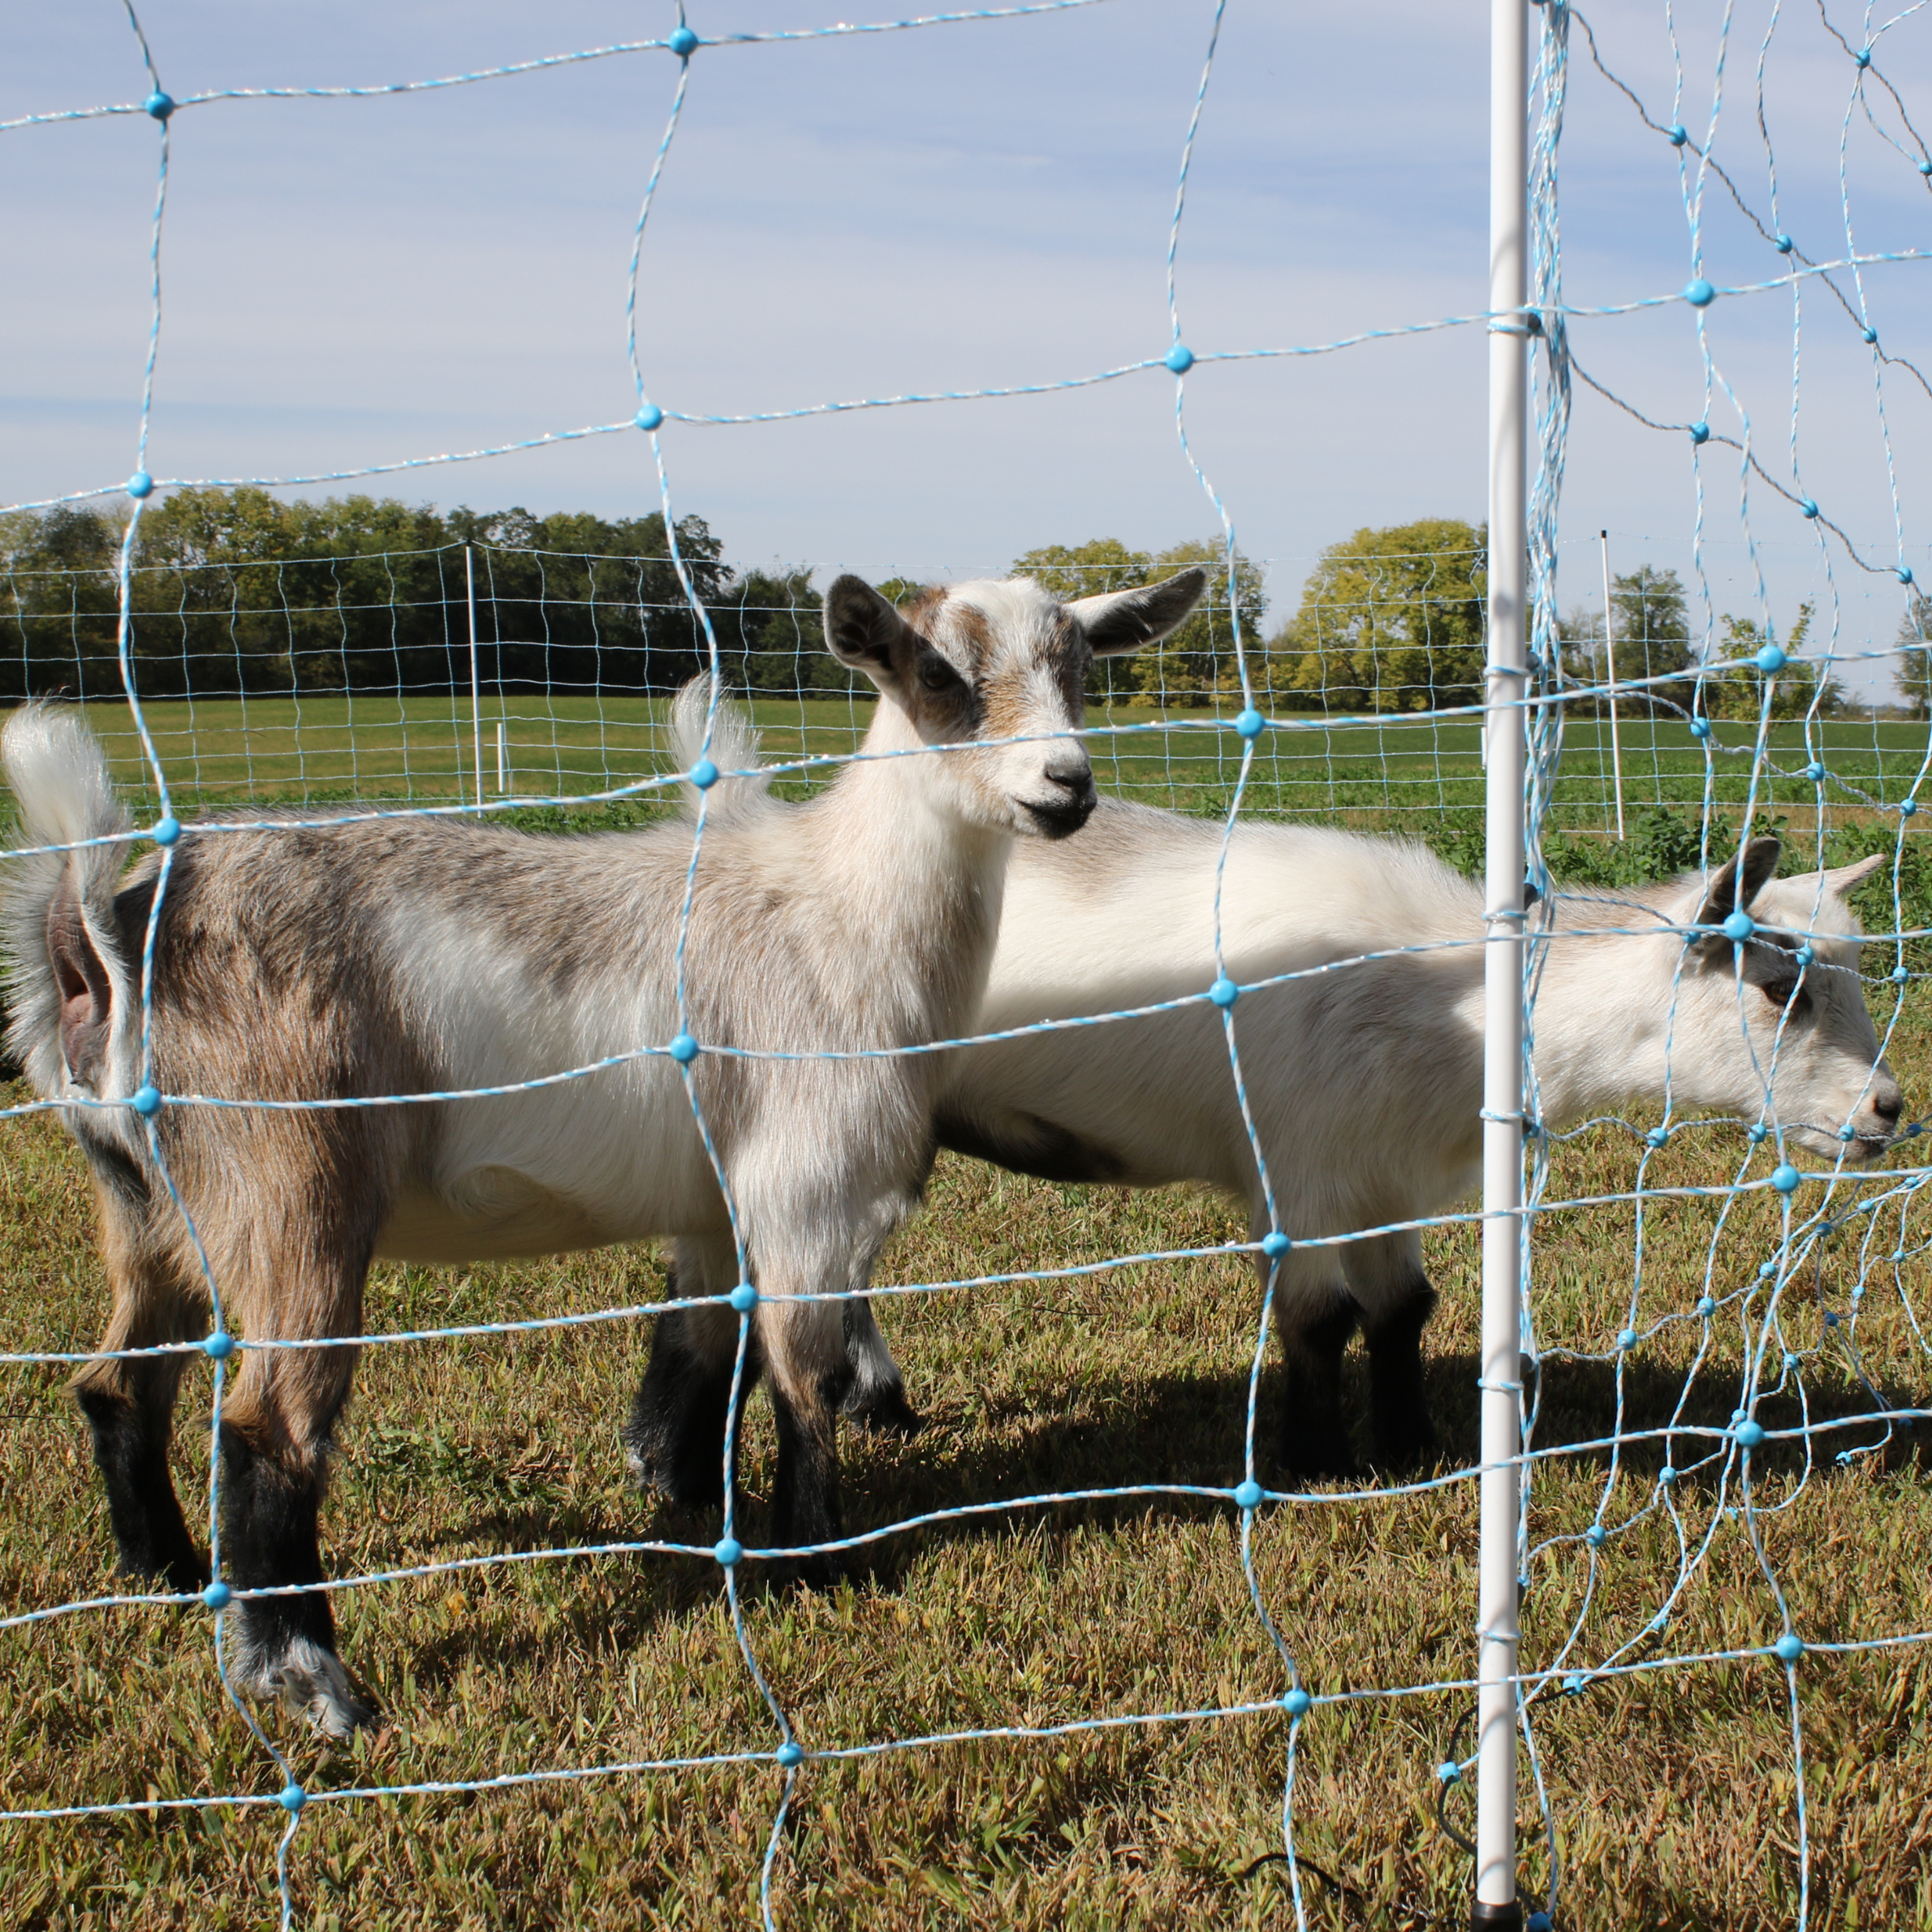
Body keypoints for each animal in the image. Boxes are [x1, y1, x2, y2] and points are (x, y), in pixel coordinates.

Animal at [0, 565, 1206, 1736]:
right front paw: (811, 1558)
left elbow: (702, 1349)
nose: (1066, 785)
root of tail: (98, 947)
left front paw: (685, 1493)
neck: (835, 910)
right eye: (937, 672)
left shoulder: (716, 1199)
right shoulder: (805, 1184)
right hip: (291, 1186)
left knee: (119, 1385)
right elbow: (802, 1376)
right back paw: (311, 1684)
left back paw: (166, 1573)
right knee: (266, 1426)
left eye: (1083, 665)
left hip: (149, 1204)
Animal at [832, 801, 1898, 1478]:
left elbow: (1401, 1310)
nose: (1888, 1108)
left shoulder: (1388, 1178)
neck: (1452, 1000)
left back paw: (876, 1403)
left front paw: (1412, 1445)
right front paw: (1318, 1462)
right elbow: (1317, 1316)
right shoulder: (1298, 1174)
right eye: (1778, 987)